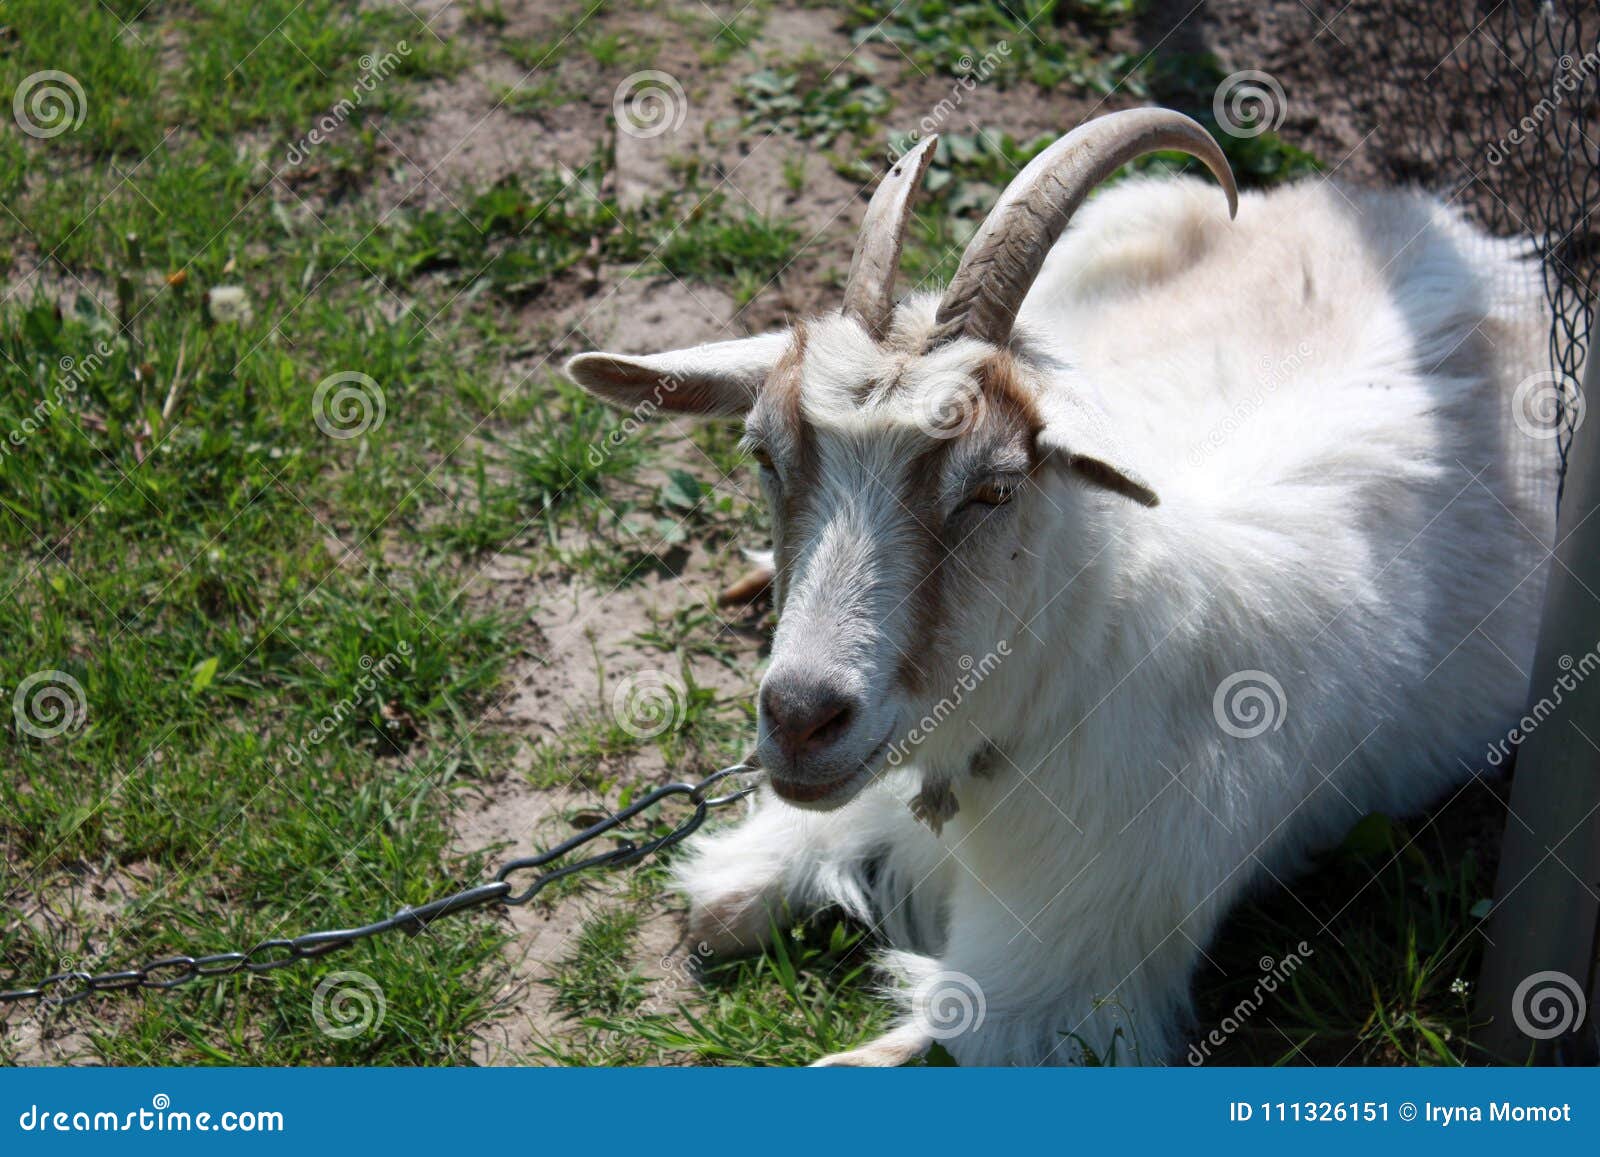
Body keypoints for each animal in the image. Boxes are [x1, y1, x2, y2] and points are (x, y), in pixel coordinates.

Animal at [565, 108, 1556, 1065]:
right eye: (764, 454)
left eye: (996, 487)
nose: (802, 718)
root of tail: (1442, 227)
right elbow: (718, 907)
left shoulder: (1055, 998)